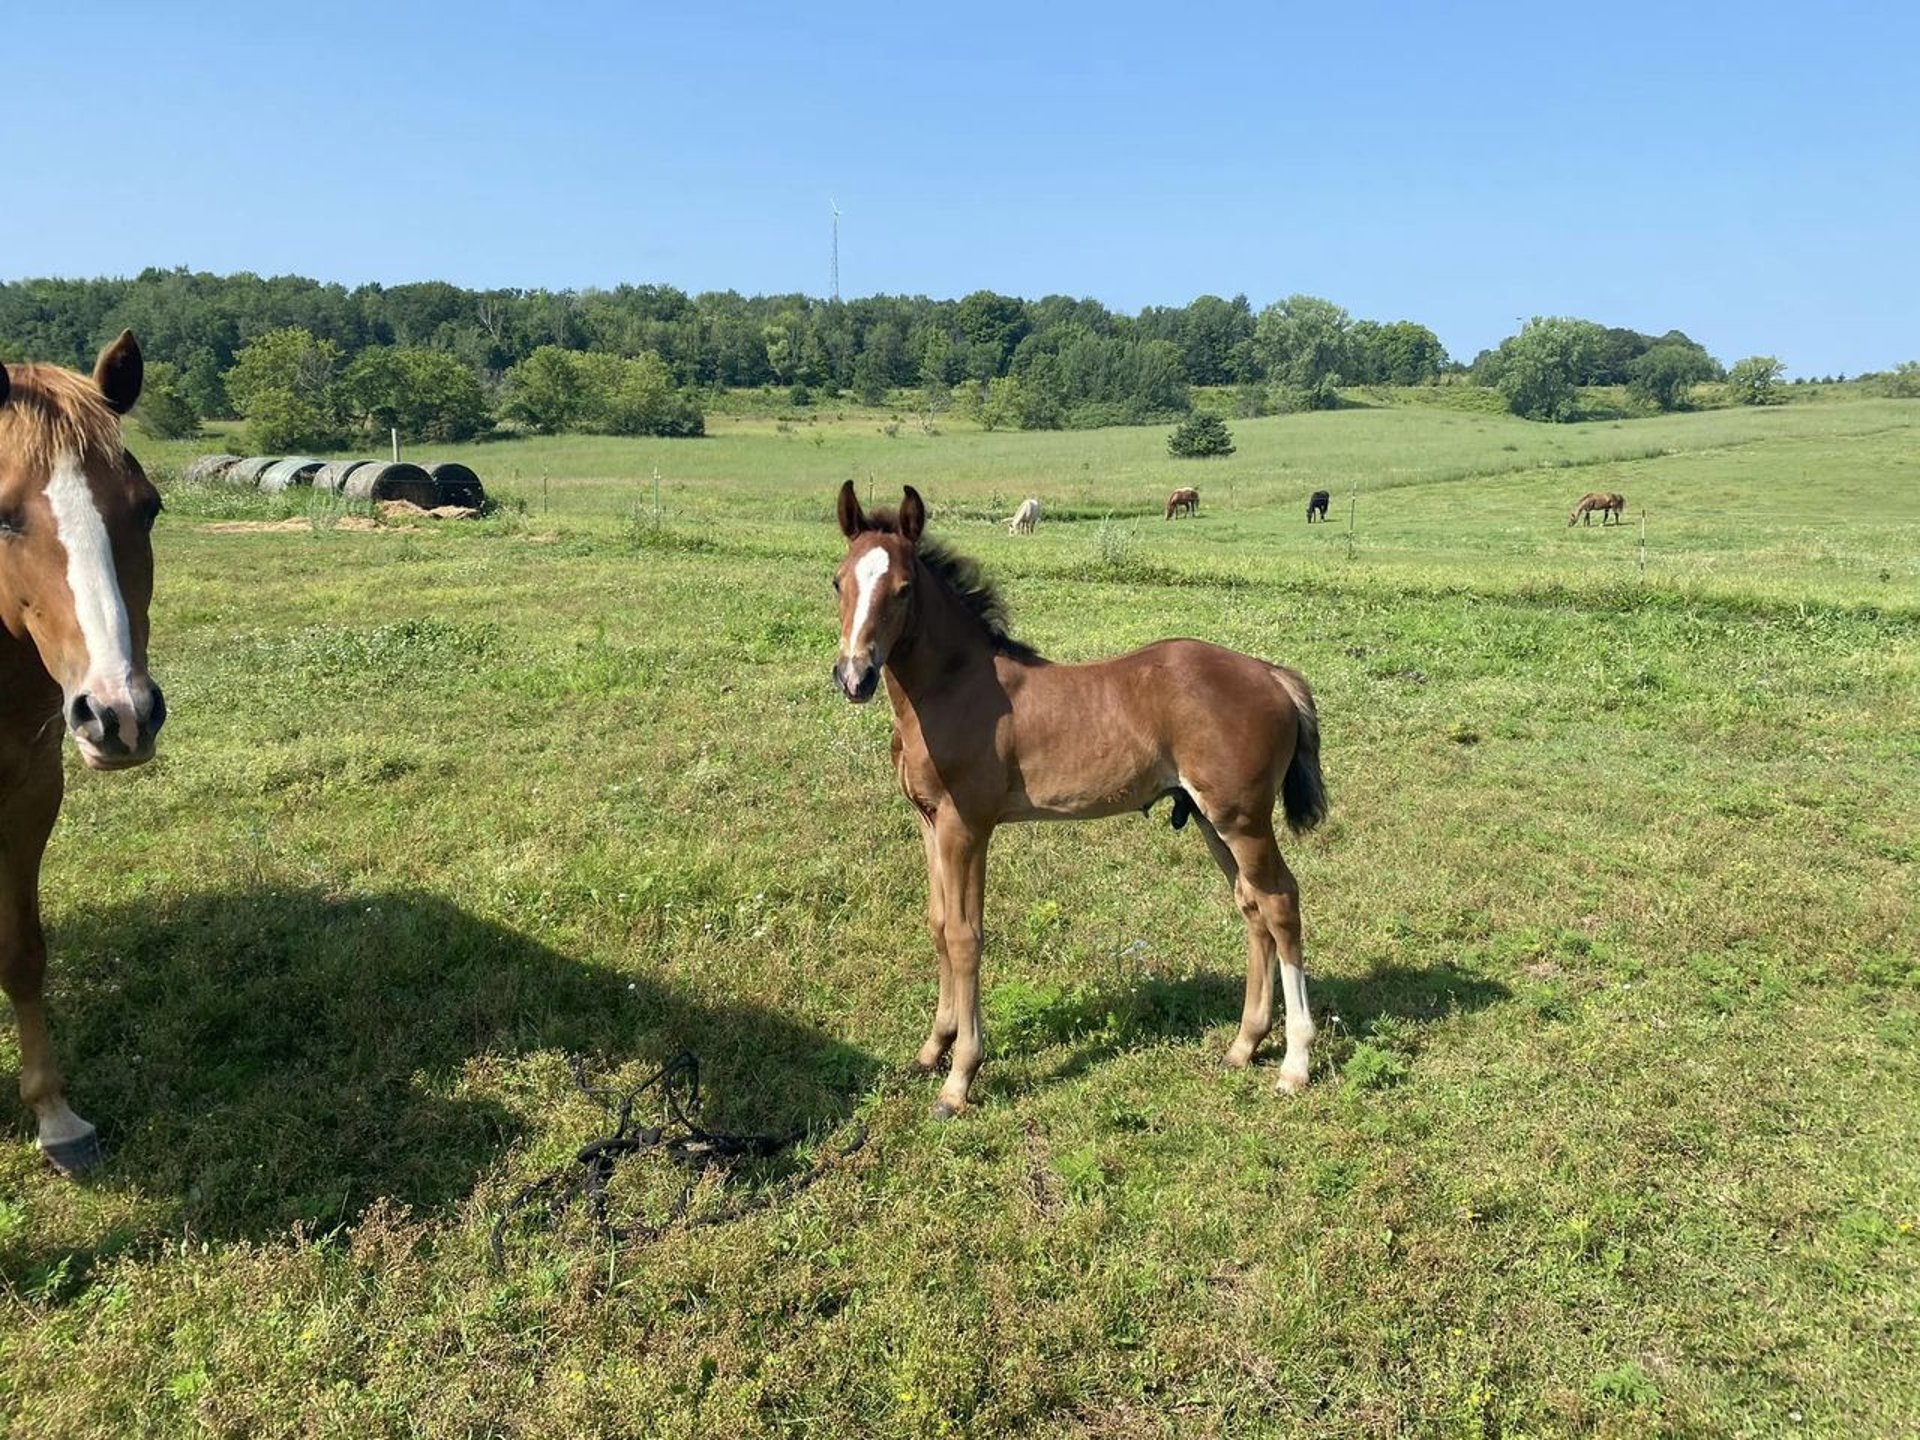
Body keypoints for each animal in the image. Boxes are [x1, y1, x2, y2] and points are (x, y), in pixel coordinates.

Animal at [832, 482, 1327, 1117]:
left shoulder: (967, 826)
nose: (854, 677)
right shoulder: (929, 821)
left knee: (1281, 902)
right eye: (838, 581)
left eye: (903, 588)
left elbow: (967, 936)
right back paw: (1243, 1045)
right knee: (1252, 905)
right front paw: (931, 1049)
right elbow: (940, 924)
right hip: (1212, 819)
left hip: (1243, 819)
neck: (955, 687)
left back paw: (1295, 1063)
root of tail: (1270, 673)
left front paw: (959, 1078)